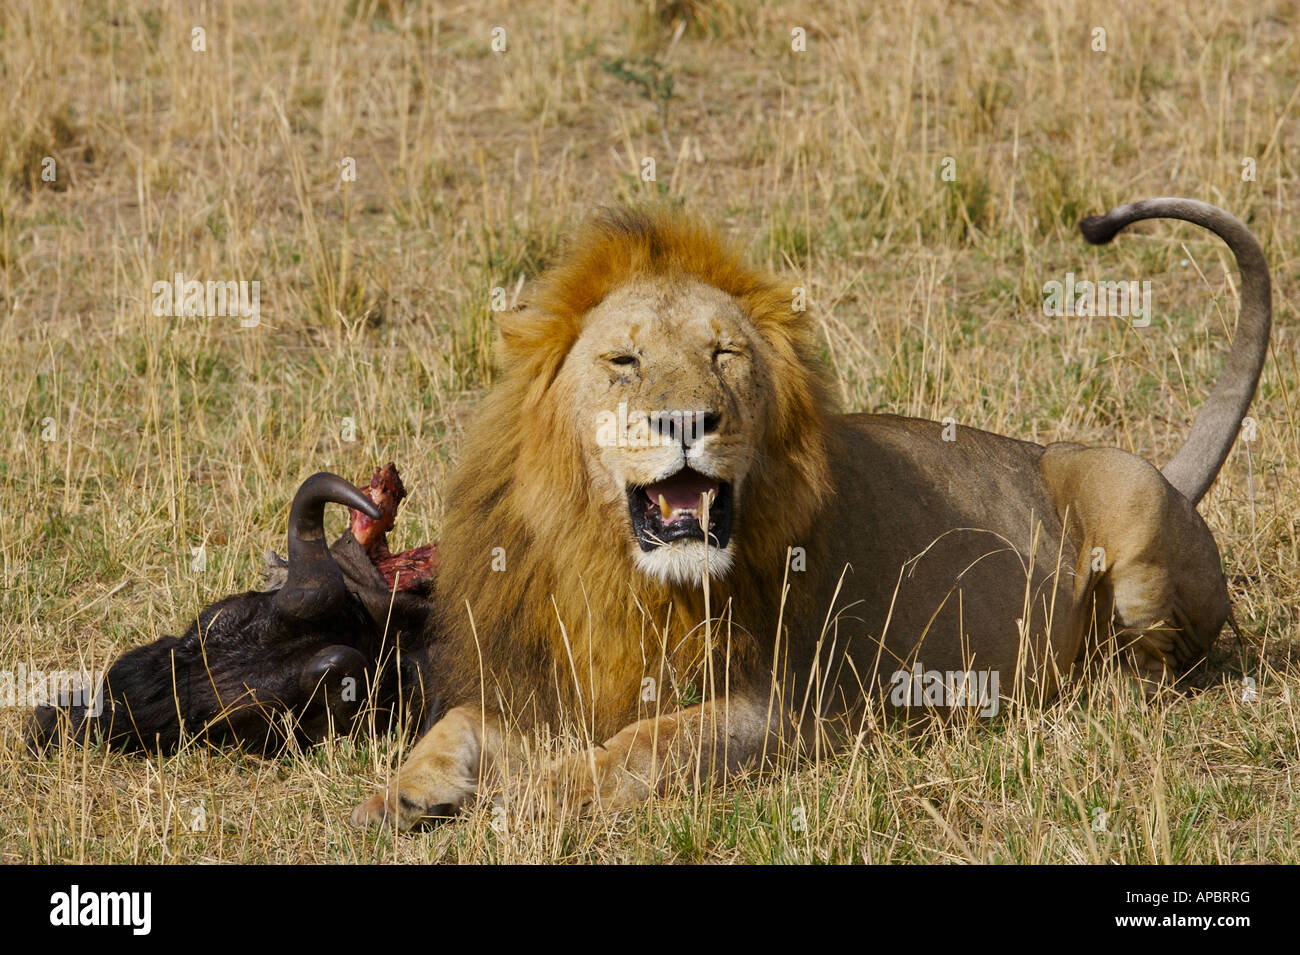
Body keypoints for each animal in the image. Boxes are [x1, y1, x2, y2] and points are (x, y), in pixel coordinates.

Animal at [351, 197, 1270, 829]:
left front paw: (541, 790)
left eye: (724, 352)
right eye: (624, 359)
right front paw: (398, 792)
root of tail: (1175, 479)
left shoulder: (782, 707)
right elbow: (458, 724)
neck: (623, 569)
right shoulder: (547, 679)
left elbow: (649, 744)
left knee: (1152, 671)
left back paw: (1086, 687)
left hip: (1126, 490)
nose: (685, 420)